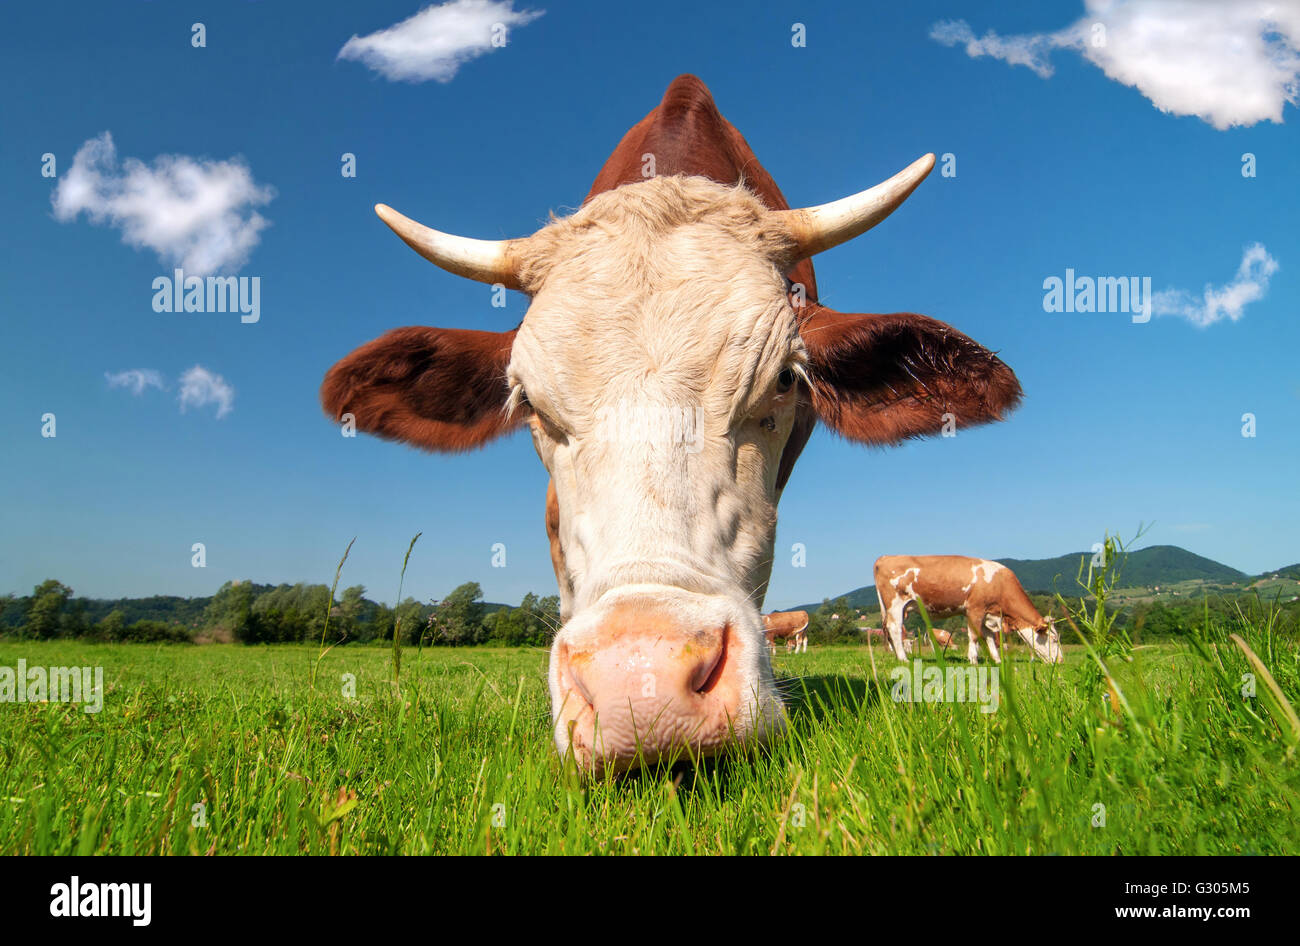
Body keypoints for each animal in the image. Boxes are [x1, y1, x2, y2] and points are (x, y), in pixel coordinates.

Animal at [874, 555, 1063, 665]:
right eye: (1053, 639)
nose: (1060, 661)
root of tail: (885, 557)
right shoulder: (974, 609)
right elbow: (974, 636)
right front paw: (973, 659)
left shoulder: (987, 614)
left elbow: (988, 637)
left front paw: (997, 660)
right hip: (896, 604)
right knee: (894, 629)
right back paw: (903, 658)